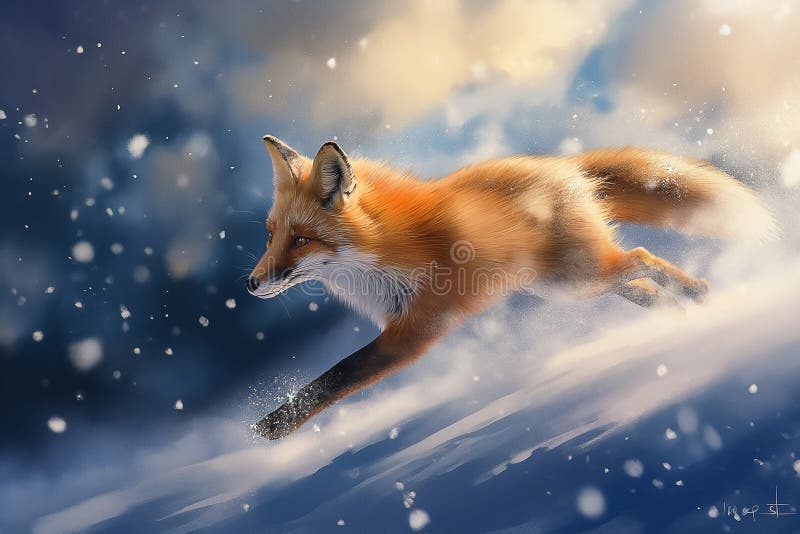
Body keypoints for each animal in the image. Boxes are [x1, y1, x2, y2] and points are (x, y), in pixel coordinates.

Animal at [248, 135, 775, 439]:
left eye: (301, 240)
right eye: (270, 234)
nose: (251, 285)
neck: (380, 251)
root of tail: (565, 167)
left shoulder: (415, 330)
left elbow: (336, 377)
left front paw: (270, 429)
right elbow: (334, 377)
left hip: (579, 275)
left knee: (642, 259)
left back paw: (699, 292)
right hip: (571, 286)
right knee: (639, 283)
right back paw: (681, 315)